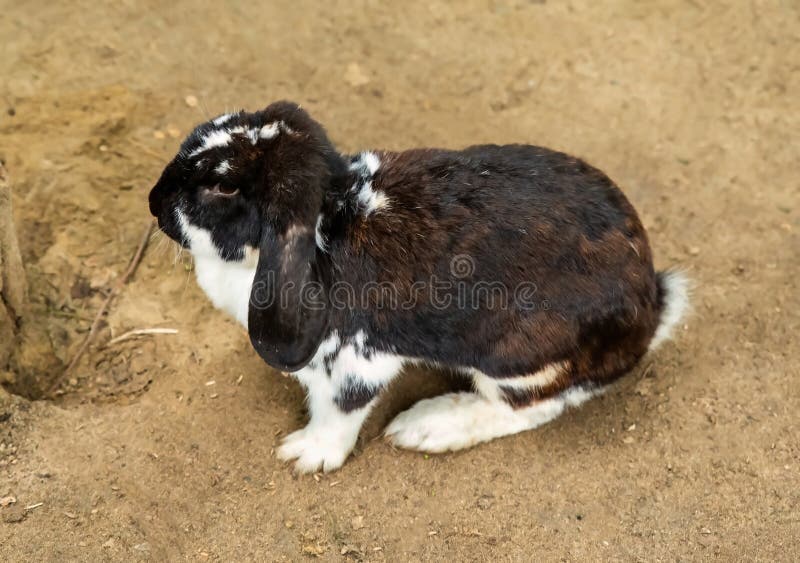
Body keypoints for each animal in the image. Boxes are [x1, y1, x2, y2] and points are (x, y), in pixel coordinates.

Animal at [149, 101, 689, 473]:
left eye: (224, 186)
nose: (154, 202)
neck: (330, 218)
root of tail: (652, 306)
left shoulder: (356, 362)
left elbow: (338, 413)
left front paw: (305, 455)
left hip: (517, 358)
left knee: (532, 407)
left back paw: (425, 427)